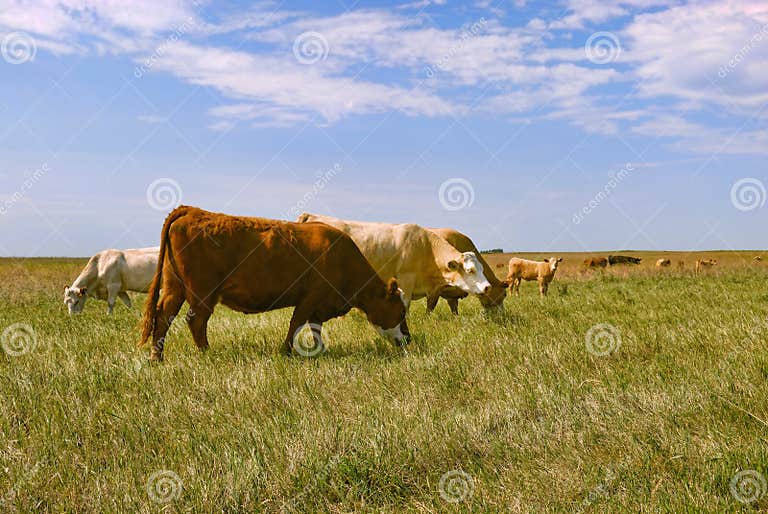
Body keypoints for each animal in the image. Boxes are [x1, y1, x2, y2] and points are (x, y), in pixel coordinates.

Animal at [139, 206, 410, 361]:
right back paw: (207, 353)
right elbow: (297, 323)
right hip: (203, 292)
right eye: (401, 311)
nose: (408, 339)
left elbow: (315, 326)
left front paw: (319, 350)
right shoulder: (311, 296)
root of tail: (191, 210)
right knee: (195, 321)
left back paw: (157, 357)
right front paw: (286, 351)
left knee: (163, 317)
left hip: (174, 288)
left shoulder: (319, 303)